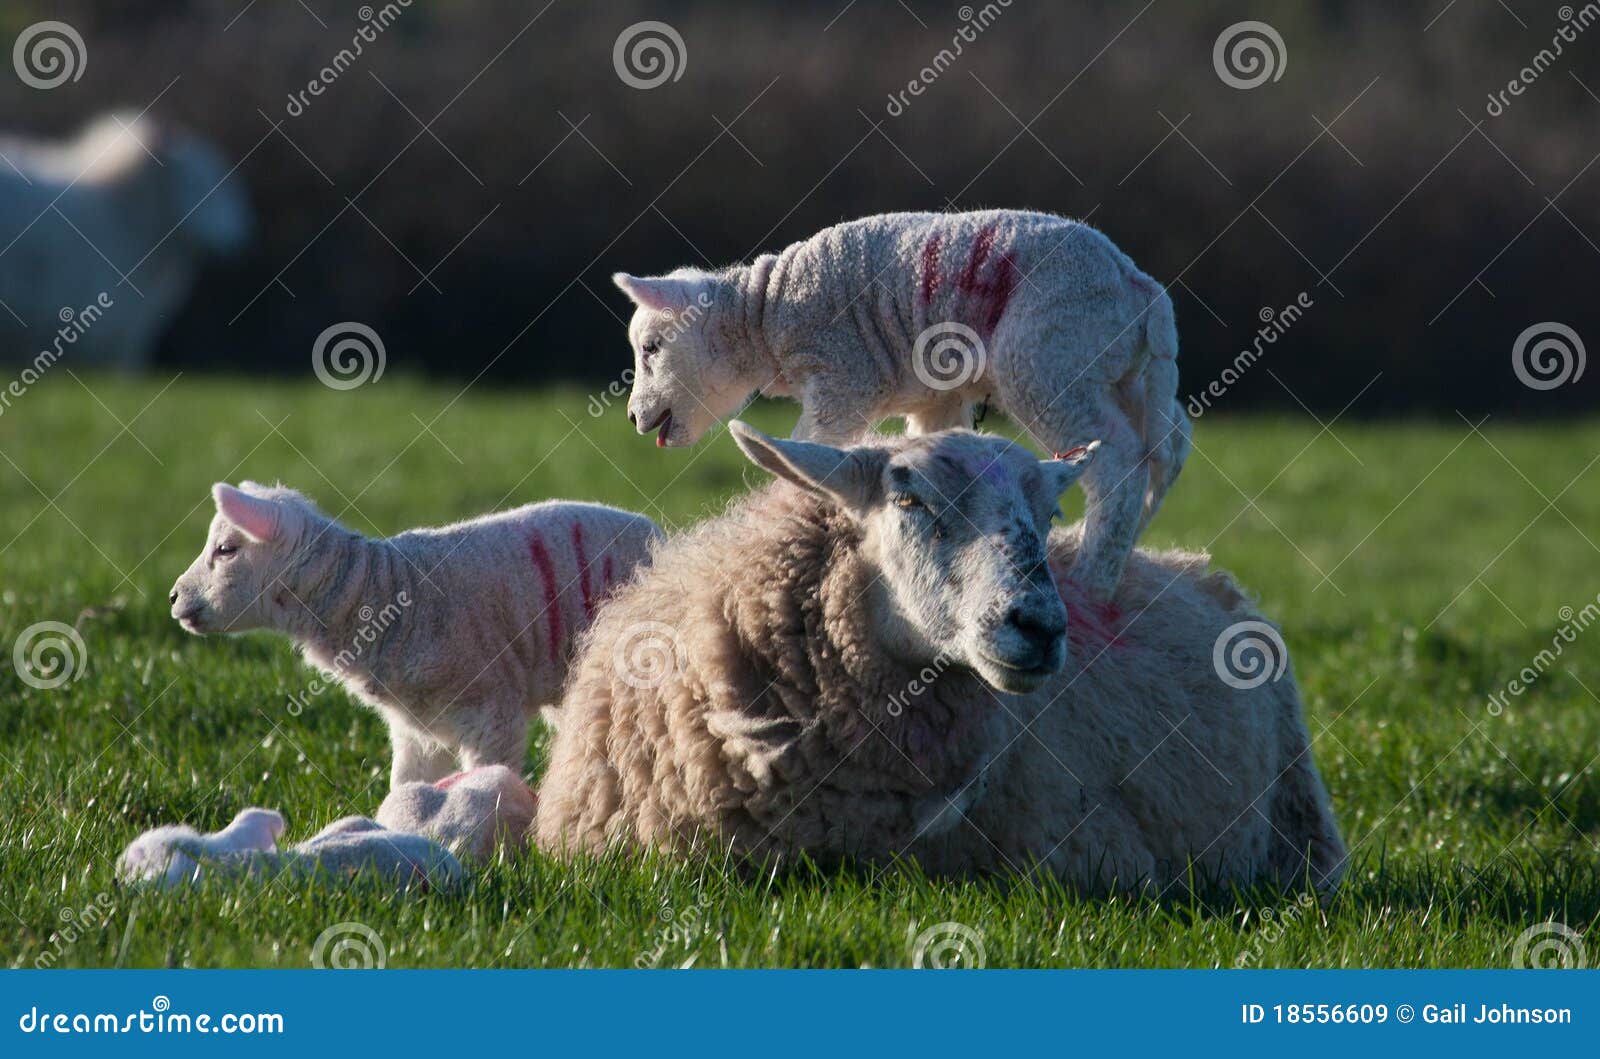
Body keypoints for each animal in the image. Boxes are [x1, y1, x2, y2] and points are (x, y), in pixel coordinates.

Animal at [169, 482, 662, 788]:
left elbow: (490, 780)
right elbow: (403, 783)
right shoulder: (418, 727)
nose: (174, 597)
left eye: (226, 549)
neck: (378, 590)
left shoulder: (491, 707)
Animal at [612, 208, 1189, 601]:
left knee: (1118, 460)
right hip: (1117, 368)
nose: (634, 417)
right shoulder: (937, 396)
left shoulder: (842, 376)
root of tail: (1137, 284)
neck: (765, 314)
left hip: (1049, 355)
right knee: (1168, 445)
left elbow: (809, 448)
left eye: (651, 349)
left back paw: (1094, 578)